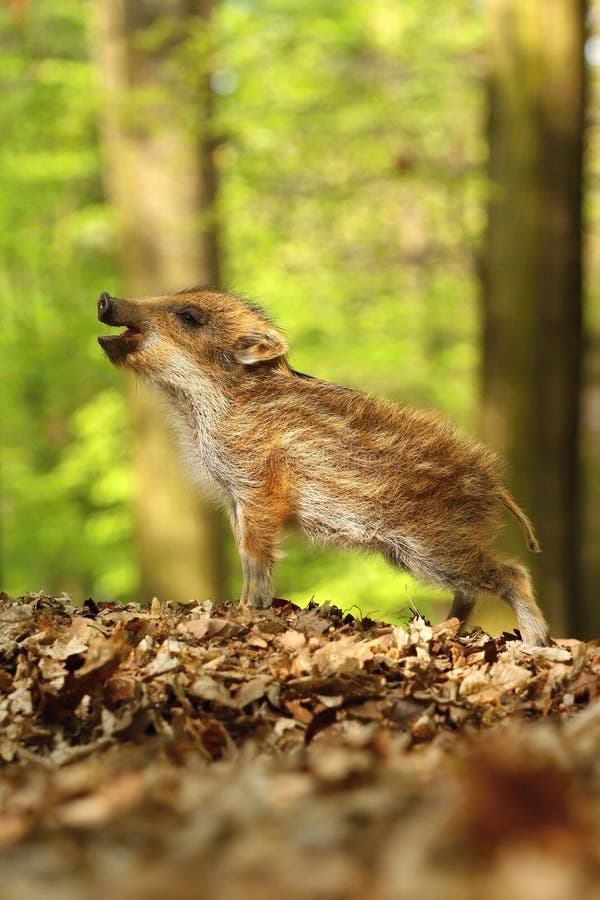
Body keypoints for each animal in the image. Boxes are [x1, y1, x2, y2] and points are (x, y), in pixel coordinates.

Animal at [97, 287, 549, 645]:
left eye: (189, 316)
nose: (105, 299)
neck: (205, 405)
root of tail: (494, 485)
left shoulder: (259, 486)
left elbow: (256, 557)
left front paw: (247, 612)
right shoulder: (236, 498)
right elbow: (246, 556)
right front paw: (240, 607)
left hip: (433, 547)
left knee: (511, 573)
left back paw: (535, 641)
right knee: (473, 590)